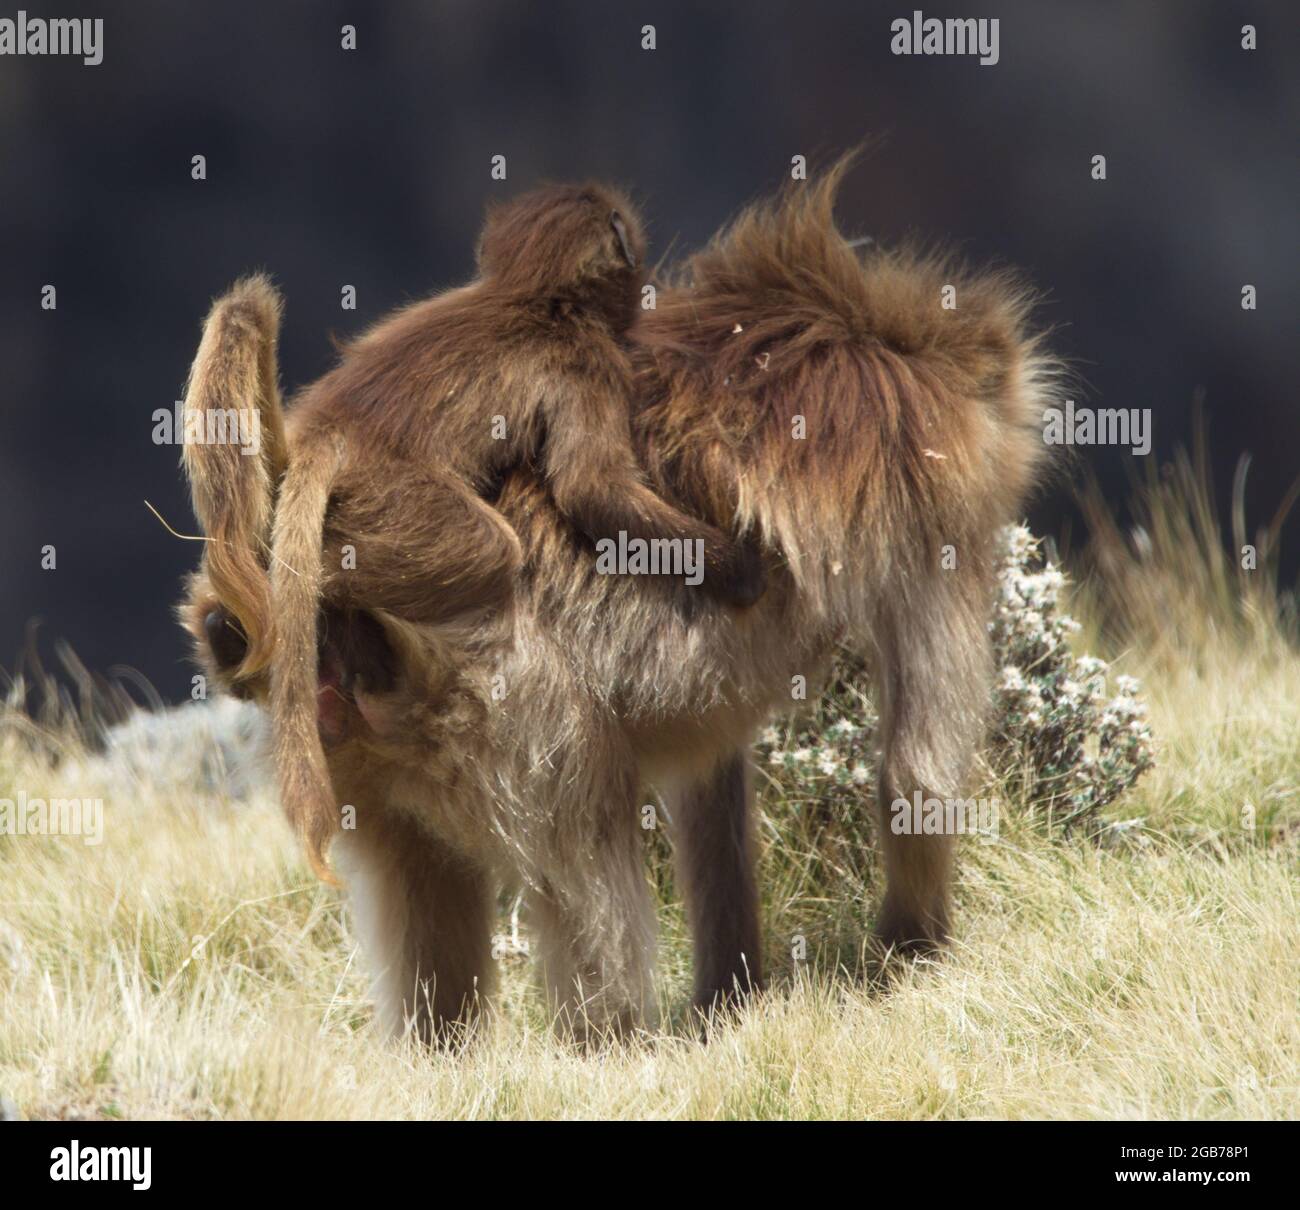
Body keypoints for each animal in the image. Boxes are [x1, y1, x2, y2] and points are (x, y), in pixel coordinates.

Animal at [179, 155, 1058, 1041]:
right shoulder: (934, 512)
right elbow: (920, 773)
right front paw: (913, 956)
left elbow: (712, 794)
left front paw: (731, 999)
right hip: (526, 706)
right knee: (589, 861)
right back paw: (612, 1042)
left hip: (352, 751)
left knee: (430, 891)